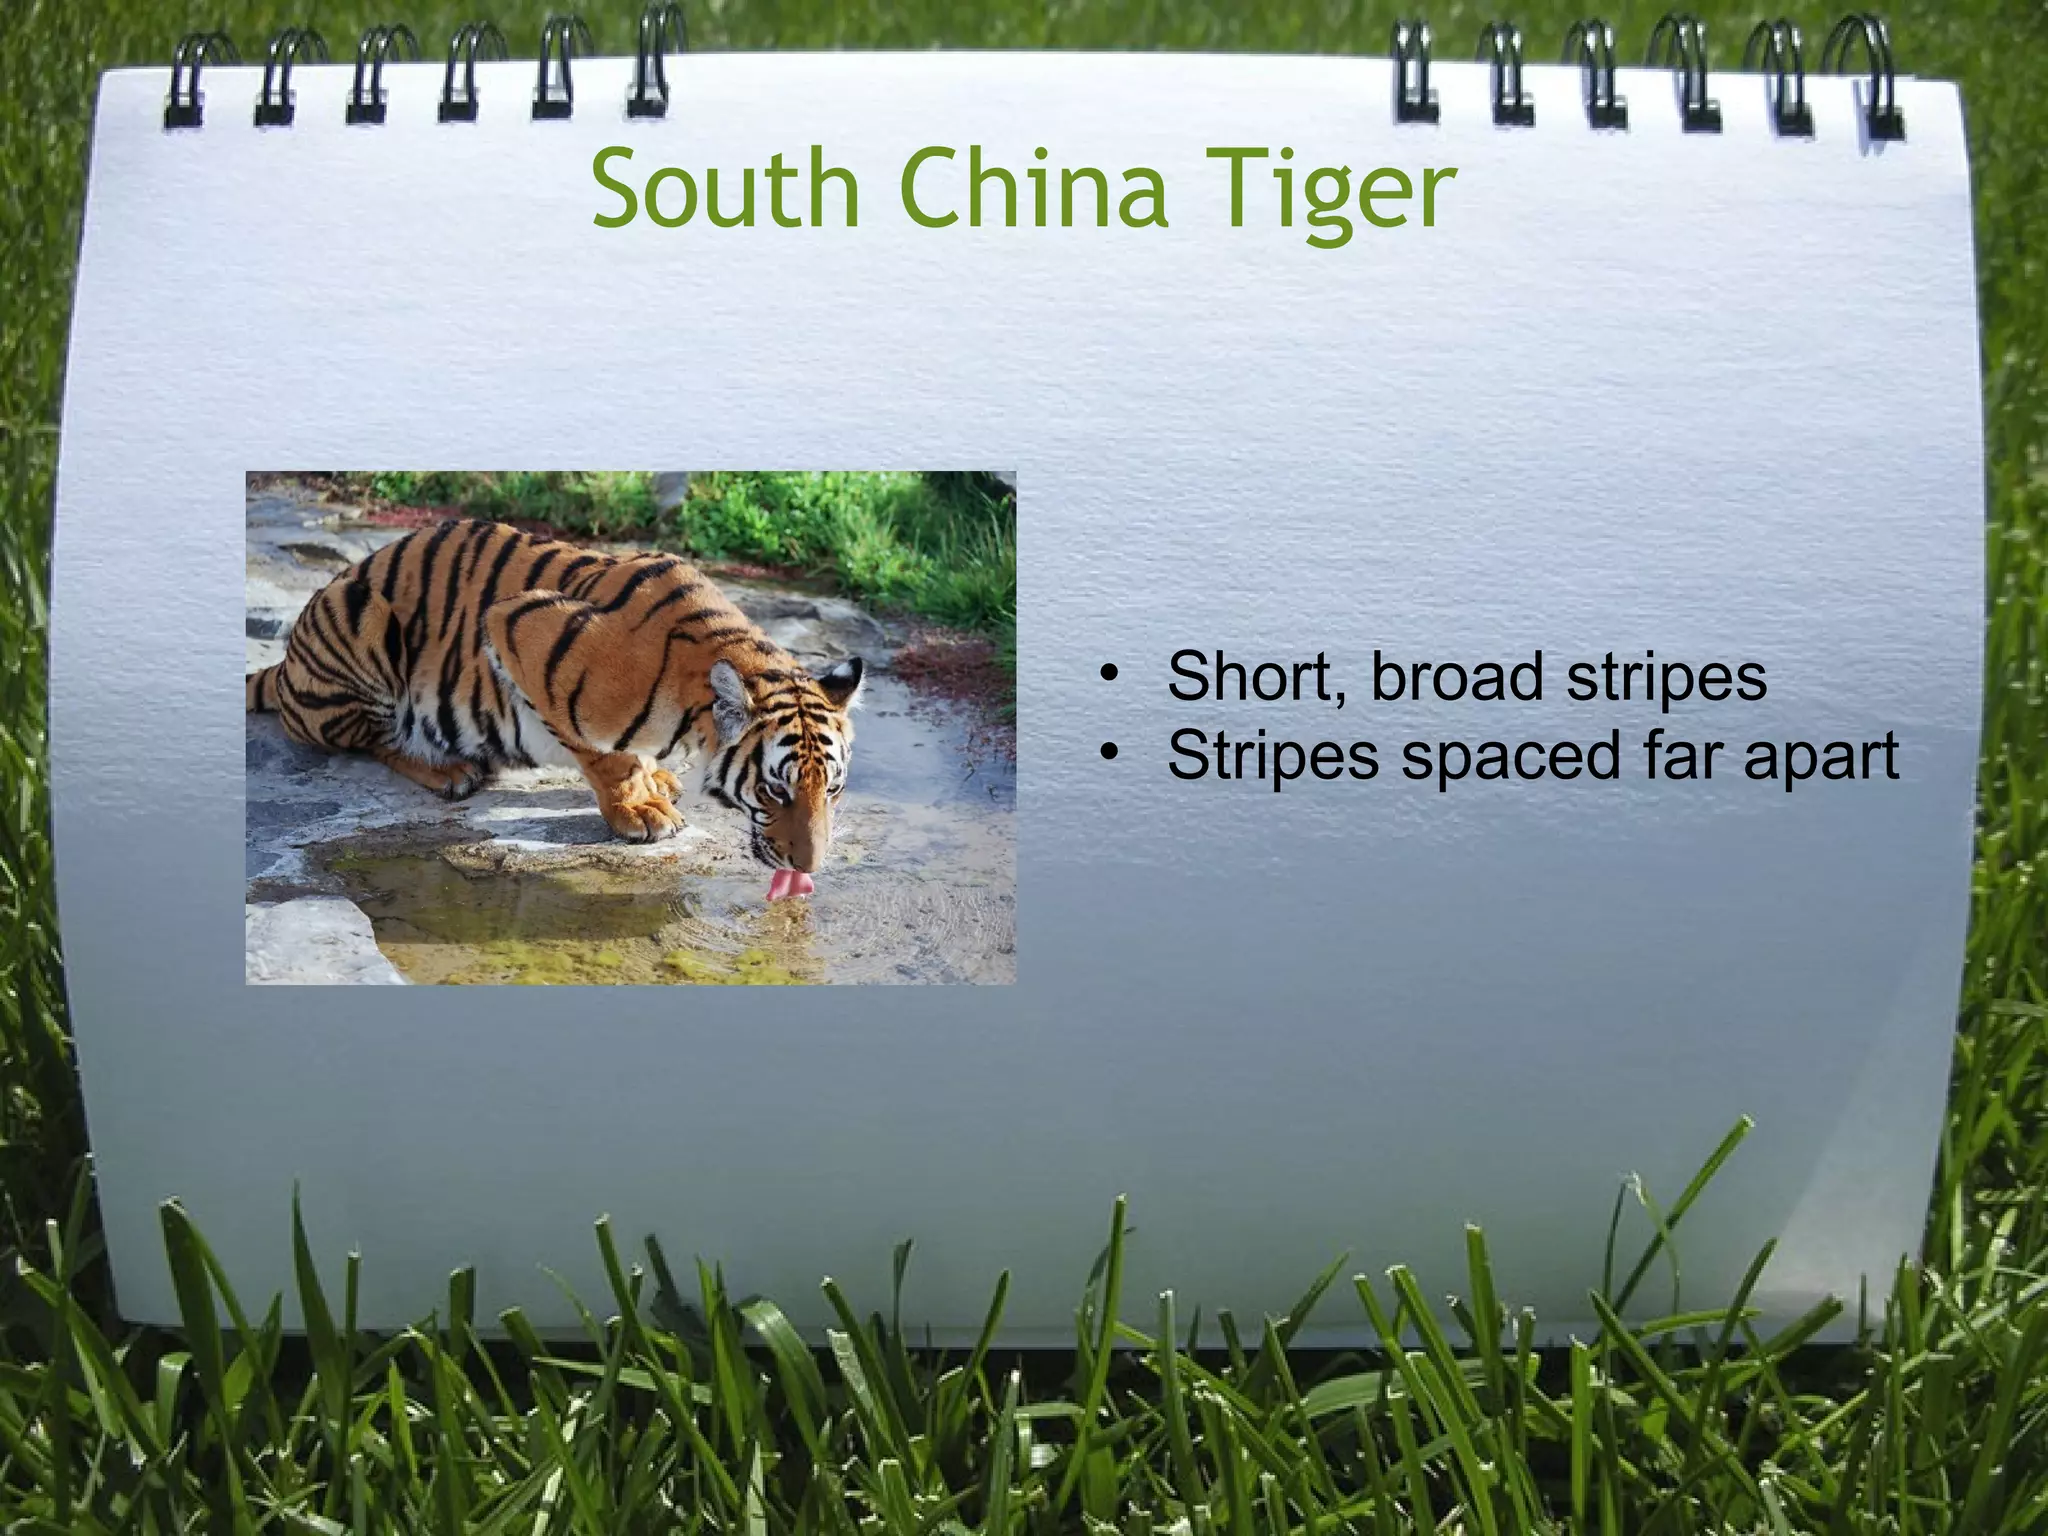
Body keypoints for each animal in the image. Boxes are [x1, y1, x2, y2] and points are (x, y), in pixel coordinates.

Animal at [246, 517, 863, 875]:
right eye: (774, 789)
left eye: (832, 790)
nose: (809, 868)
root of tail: (284, 665)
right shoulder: (517, 626)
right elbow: (607, 757)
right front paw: (638, 809)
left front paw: (656, 778)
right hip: (361, 613)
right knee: (370, 738)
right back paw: (447, 769)